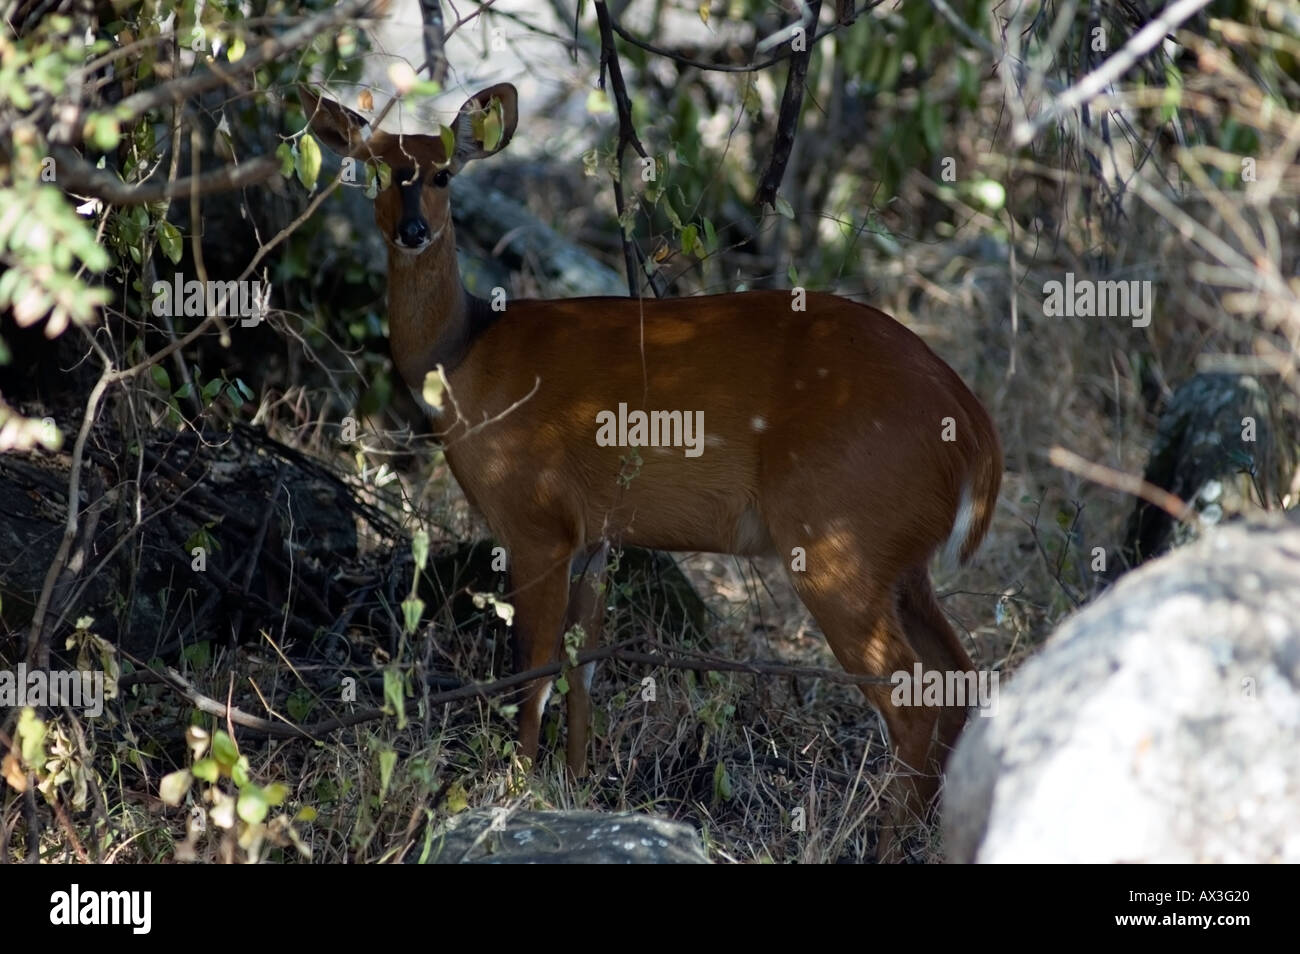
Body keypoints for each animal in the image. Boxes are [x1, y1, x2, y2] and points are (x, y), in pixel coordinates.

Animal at [300, 83, 1002, 844]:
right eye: (375, 168)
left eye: (442, 175)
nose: (412, 231)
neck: (466, 356)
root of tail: (972, 427)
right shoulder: (595, 534)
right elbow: (582, 661)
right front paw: (578, 782)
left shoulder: (533, 518)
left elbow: (533, 668)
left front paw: (516, 786)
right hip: (901, 559)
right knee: (960, 681)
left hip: (841, 537)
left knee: (913, 697)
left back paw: (884, 838)